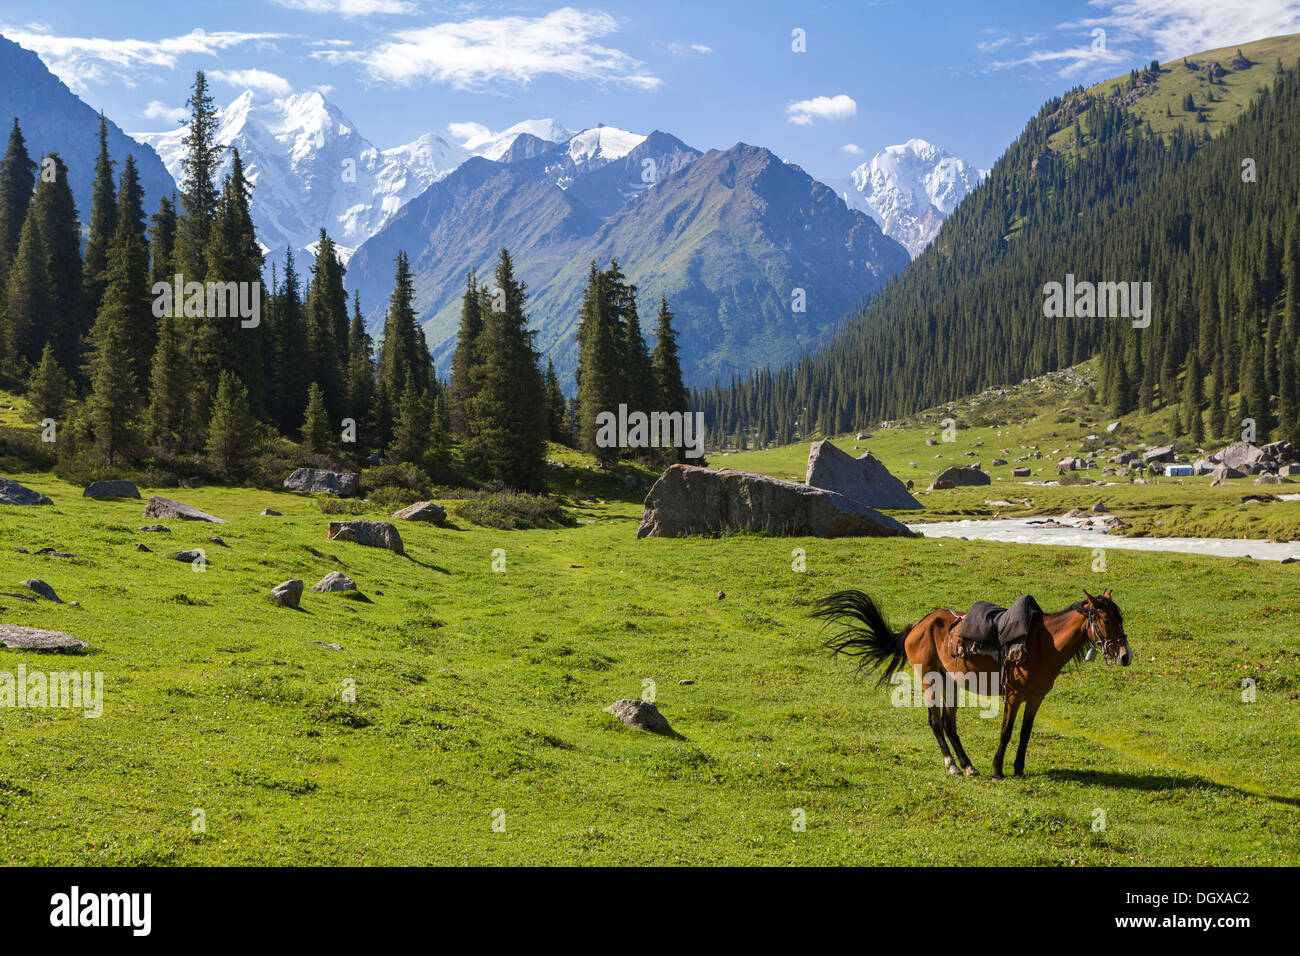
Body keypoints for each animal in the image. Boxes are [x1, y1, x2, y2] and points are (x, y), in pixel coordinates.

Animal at [812, 589, 1132, 778]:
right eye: (1105, 620)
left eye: (1120, 618)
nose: (1125, 656)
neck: (1043, 643)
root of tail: (916, 626)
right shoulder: (1013, 694)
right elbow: (1006, 731)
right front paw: (998, 770)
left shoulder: (1036, 697)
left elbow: (1025, 733)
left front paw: (1017, 769)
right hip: (930, 680)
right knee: (936, 722)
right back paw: (953, 766)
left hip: (951, 682)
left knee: (949, 723)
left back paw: (968, 765)